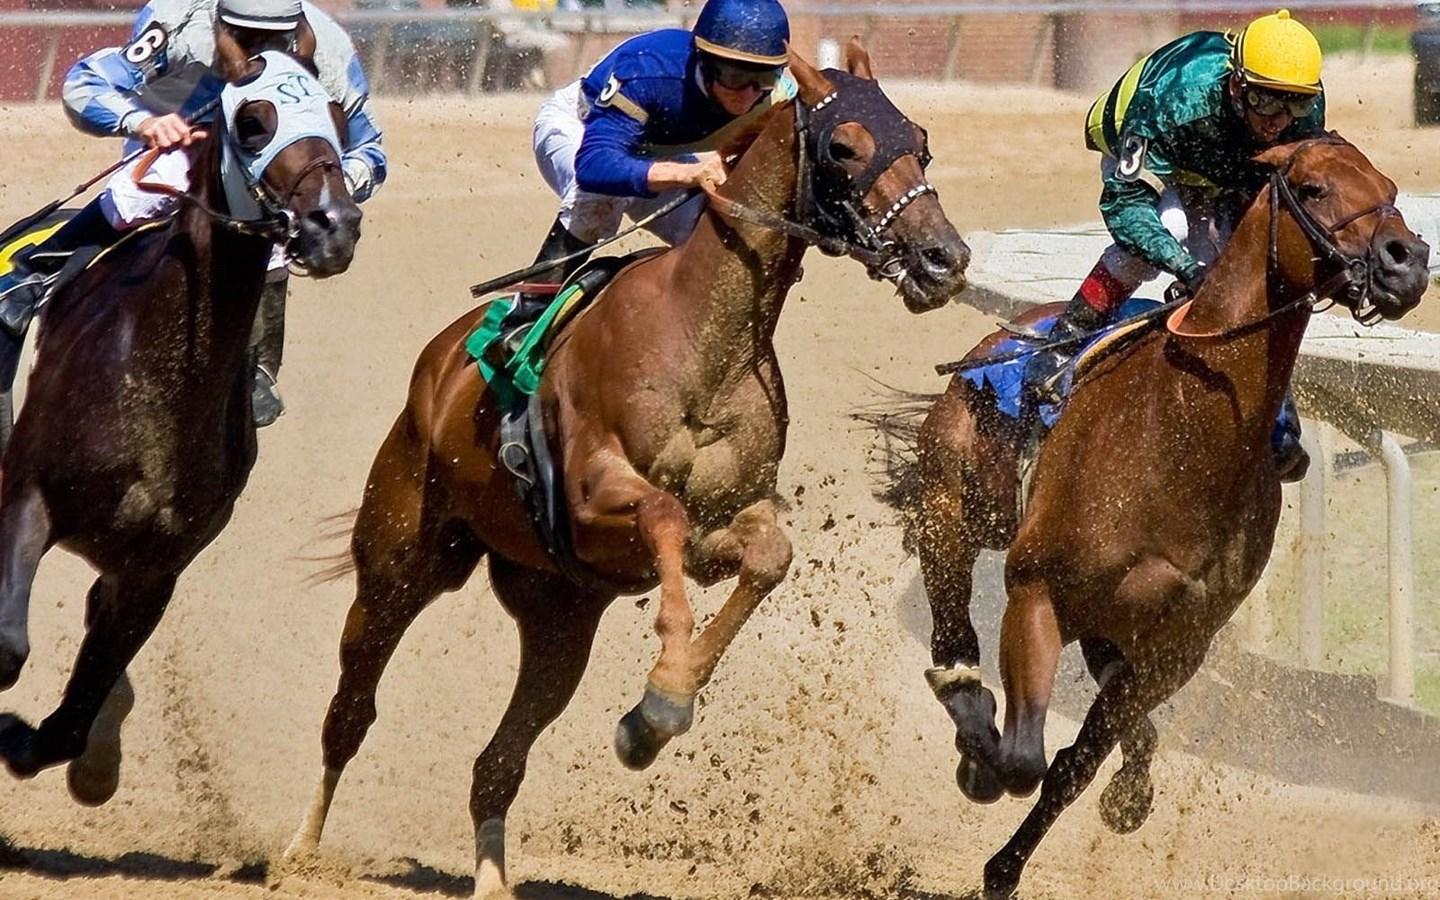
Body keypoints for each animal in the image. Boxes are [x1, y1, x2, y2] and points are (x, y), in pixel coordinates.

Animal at [0, 37, 360, 805]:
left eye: (339, 120)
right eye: (253, 122)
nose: (334, 226)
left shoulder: (154, 569)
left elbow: (69, 722)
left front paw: (62, 753)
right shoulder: (27, 496)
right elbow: (8, 648)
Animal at [283, 42, 969, 897]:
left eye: (921, 141)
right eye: (844, 146)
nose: (944, 259)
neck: (704, 341)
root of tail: (437, 366)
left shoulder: (726, 524)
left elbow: (767, 557)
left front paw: (653, 715)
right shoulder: (590, 495)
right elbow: (663, 512)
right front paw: (666, 694)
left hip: (558, 617)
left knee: (497, 762)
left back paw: (491, 876)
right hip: (400, 563)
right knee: (350, 710)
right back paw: (300, 849)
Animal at [896, 135, 1429, 898]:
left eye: (1388, 187)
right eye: (1314, 187)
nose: (1406, 260)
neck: (1177, 436)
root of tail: (1009, 336)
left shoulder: (1176, 646)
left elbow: (1073, 766)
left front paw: (1101, 810)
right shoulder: (1036, 594)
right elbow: (1024, 761)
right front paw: (984, 768)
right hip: (950, 506)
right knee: (950, 630)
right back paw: (967, 711)